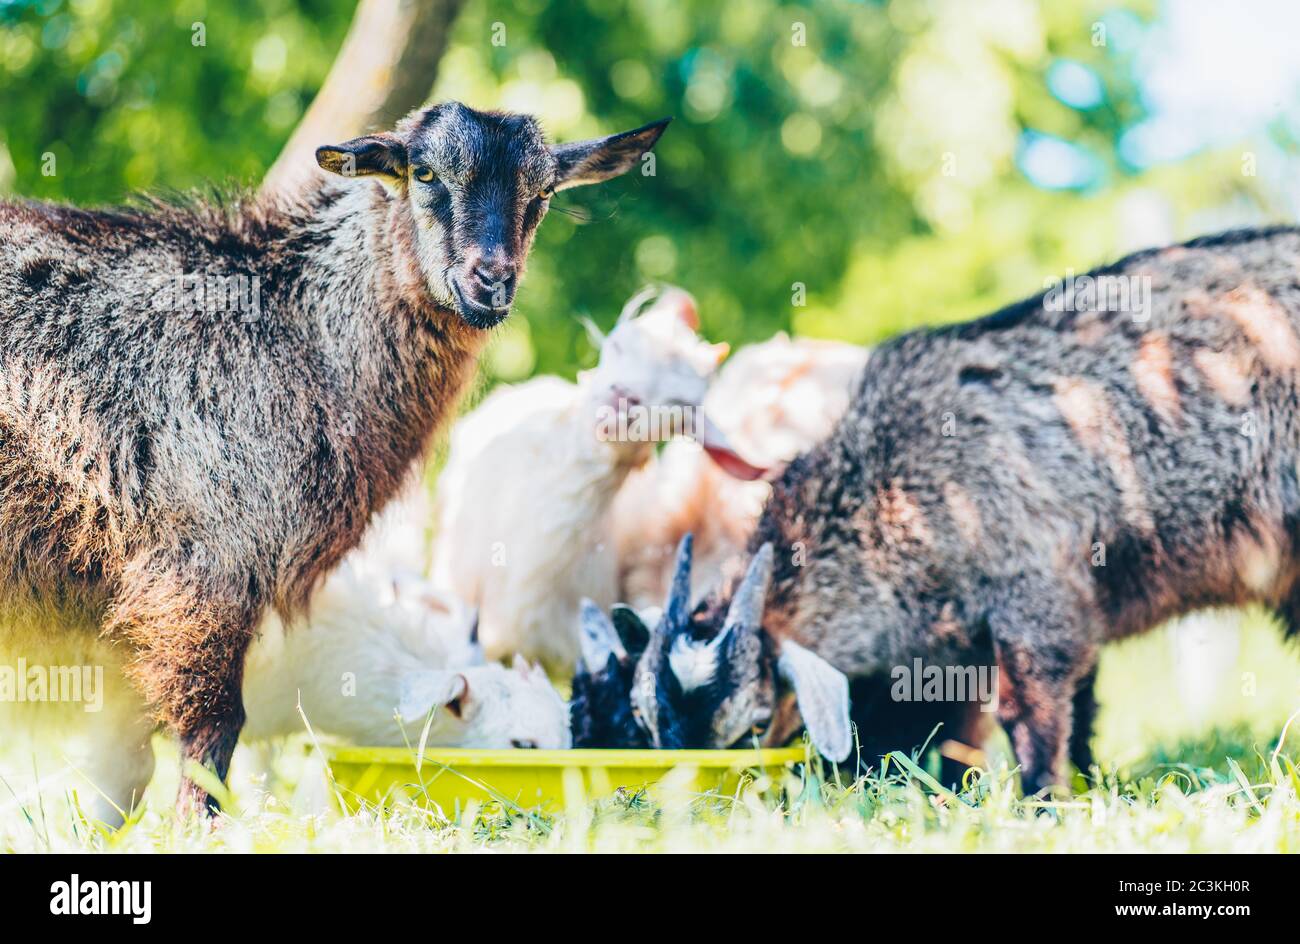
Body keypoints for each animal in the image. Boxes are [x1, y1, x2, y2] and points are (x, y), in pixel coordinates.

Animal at [0, 100, 667, 813]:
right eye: (424, 173)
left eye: (540, 194)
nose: (490, 281)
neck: (299, 333)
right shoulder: (203, 567)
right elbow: (210, 734)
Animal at [634, 228, 1300, 795]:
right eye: (646, 723)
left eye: (753, 724)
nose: (692, 798)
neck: (886, 490)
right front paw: (1082, 785)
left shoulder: (1035, 590)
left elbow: (1029, 713)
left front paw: (1044, 800)